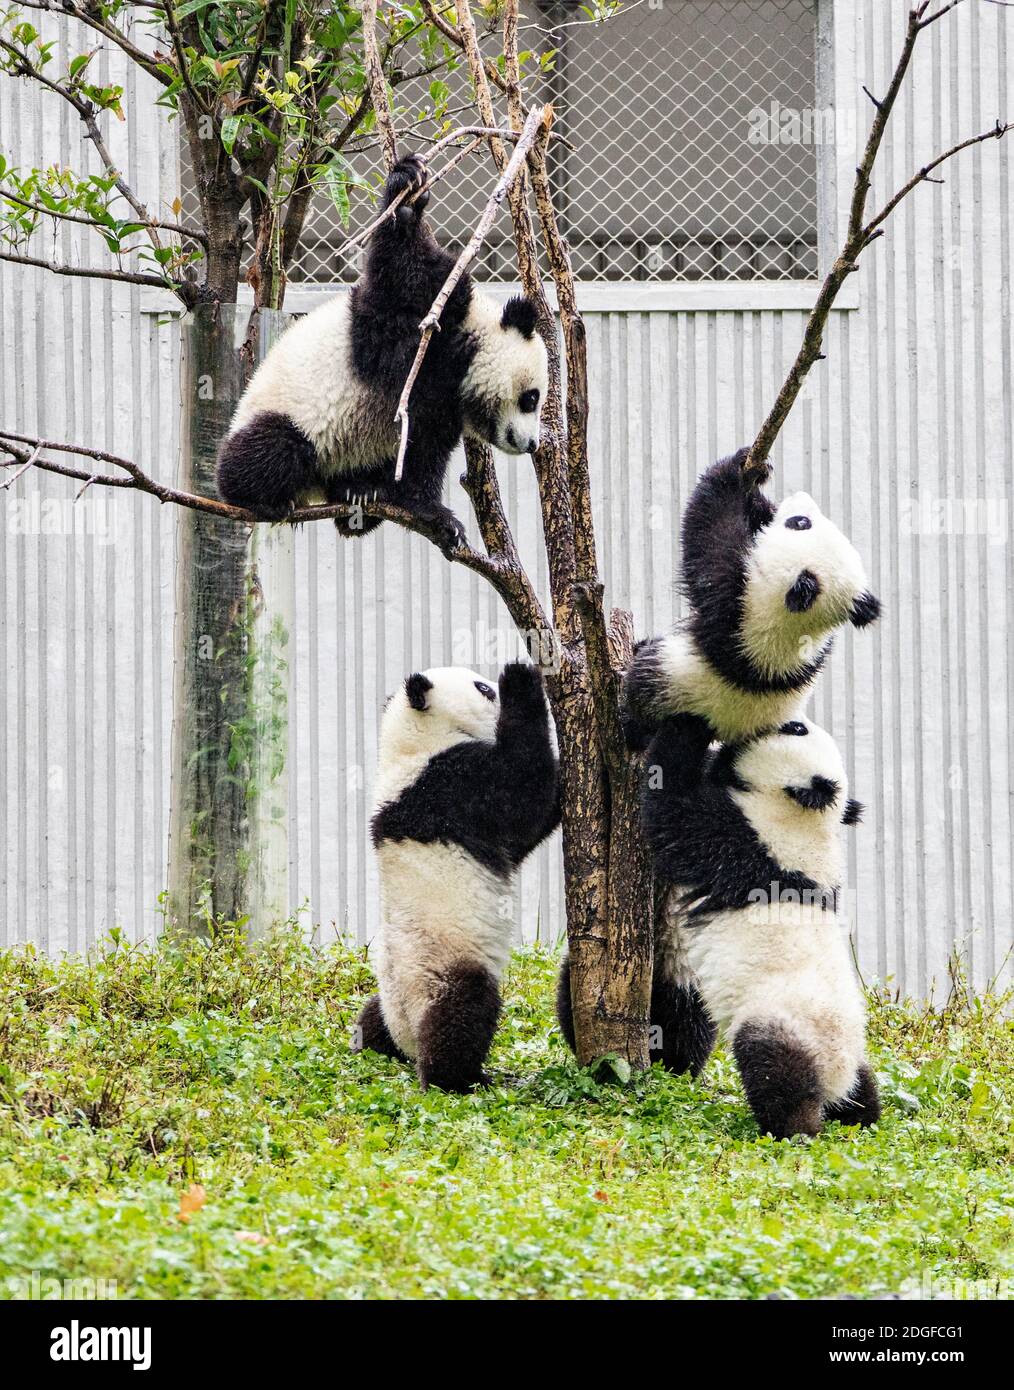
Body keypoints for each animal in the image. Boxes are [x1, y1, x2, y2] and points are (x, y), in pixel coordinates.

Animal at [216, 153, 549, 548]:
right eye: (532, 398)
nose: (532, 444)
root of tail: (313, 490)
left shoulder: (441, 409)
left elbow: (422, 453)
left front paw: (436, 517)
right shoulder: (413, 314)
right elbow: (396, 288)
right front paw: (406, 190)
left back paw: (358, 495)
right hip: (282, 413)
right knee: (271, 448)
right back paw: (261, 499)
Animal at [353, 660, 559, 1092]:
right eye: (482, 688)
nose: (493, 684)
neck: (415, 742)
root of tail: (408, 1035)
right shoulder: (453, 786)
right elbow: (525, 796)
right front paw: (520, 678)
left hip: (390, 990)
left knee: (372, 1016)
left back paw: (376, 1042)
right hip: (444, 969)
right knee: (463, 1015)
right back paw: (460, 1078)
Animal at [621, 449, 881, 747]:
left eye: (799, 523)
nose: (799, 496)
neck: (797, 623)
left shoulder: (737, 604)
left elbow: (708, 534)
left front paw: (733, 470)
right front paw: (756, 479)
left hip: (669, 683)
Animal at [638, 711, 880, 1139]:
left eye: (795, 729)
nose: (793, 717)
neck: (806, 821)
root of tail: (834, 1077)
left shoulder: (748, 844)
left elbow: (671, 808)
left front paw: (692, 723)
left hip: (781, 1023)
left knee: (775, 1075)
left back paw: (793, 1128)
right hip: (854, 1054)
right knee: (862, 1089)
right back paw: (860, 1116)